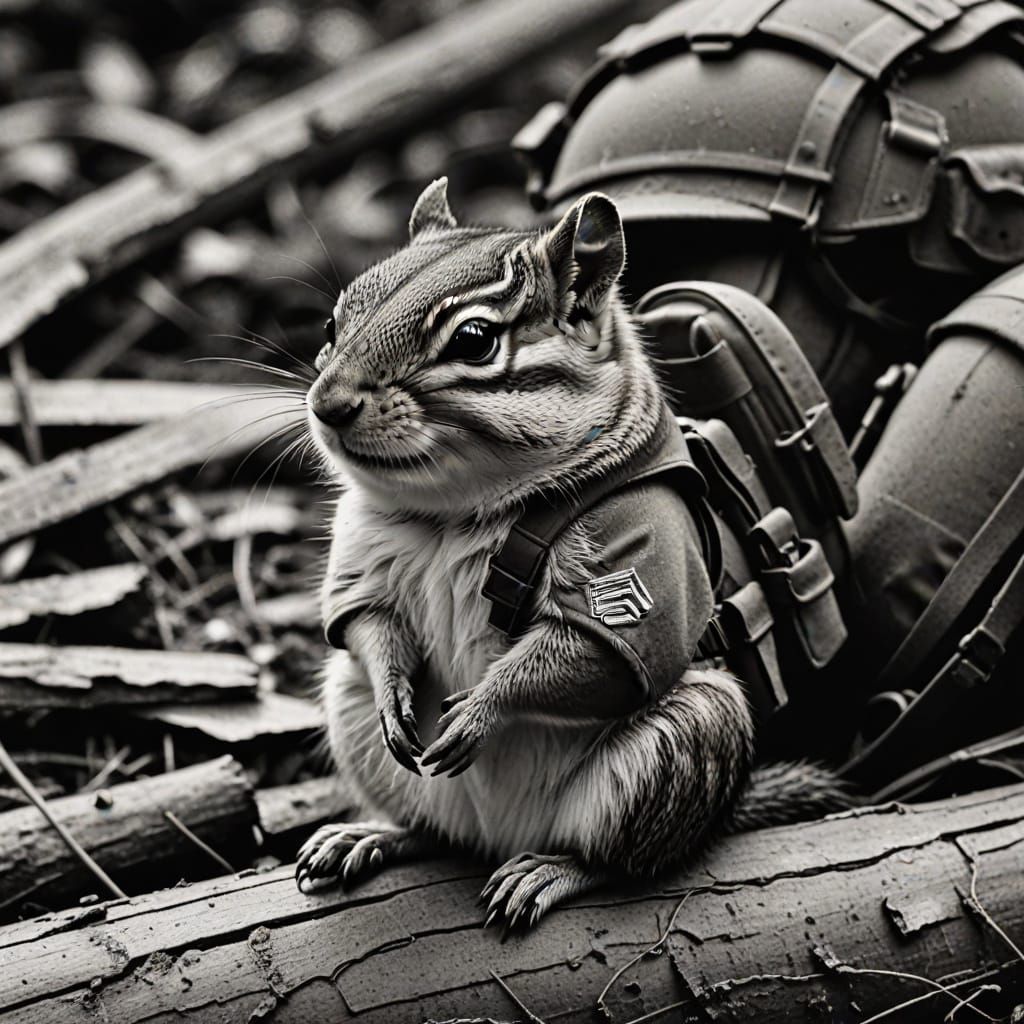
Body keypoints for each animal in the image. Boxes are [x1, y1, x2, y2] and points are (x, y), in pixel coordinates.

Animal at [295, 178, 851, 932]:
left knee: (615, 858)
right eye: (333, 324)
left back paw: (549, 870)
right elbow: (365, 621)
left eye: (474, 340)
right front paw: (395, 695)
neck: (457, 513)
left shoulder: (637, 549)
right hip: (350, 712)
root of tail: (503, 833)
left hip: (679, 744)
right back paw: (372, 833)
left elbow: (584, 656)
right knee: (436, 832)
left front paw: (479, 710)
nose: (328, 404)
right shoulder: (361, 548)